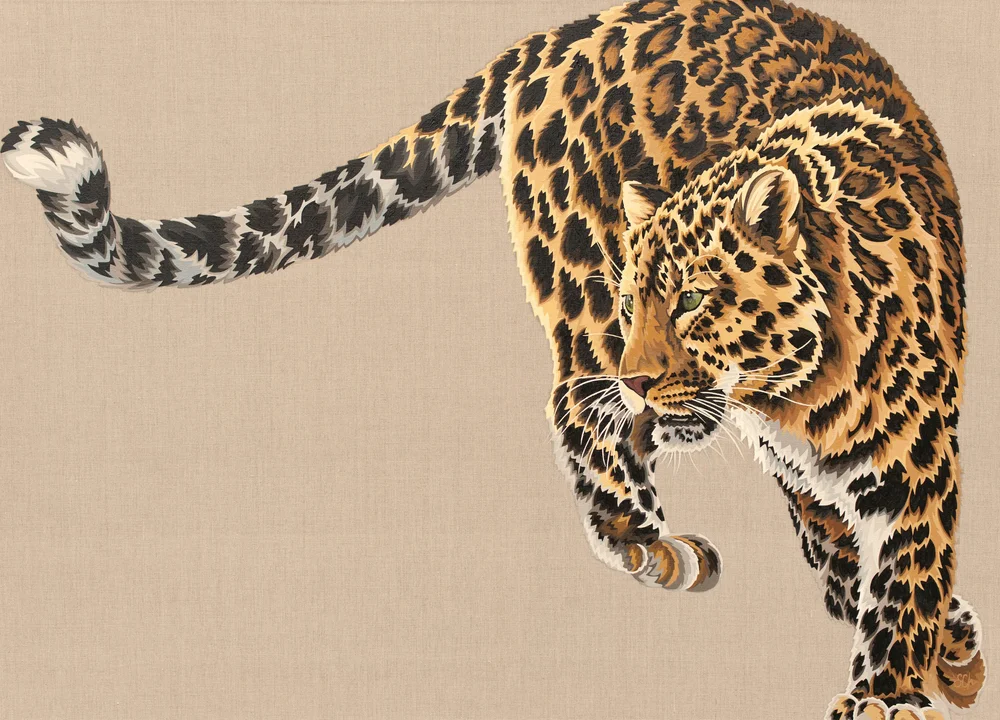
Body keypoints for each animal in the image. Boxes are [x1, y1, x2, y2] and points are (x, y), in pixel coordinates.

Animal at [2, 0, 983, 716]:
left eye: (694, 301)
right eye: (642, 302)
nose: (640, 373)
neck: (796, 392)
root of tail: (576, 28)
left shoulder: (915, 453)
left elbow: (900, 567)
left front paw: (924, 659)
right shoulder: (806, 463)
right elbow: (858, 561)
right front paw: (894, 684)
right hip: (577, 278)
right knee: (575, 407)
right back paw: (643, 537)